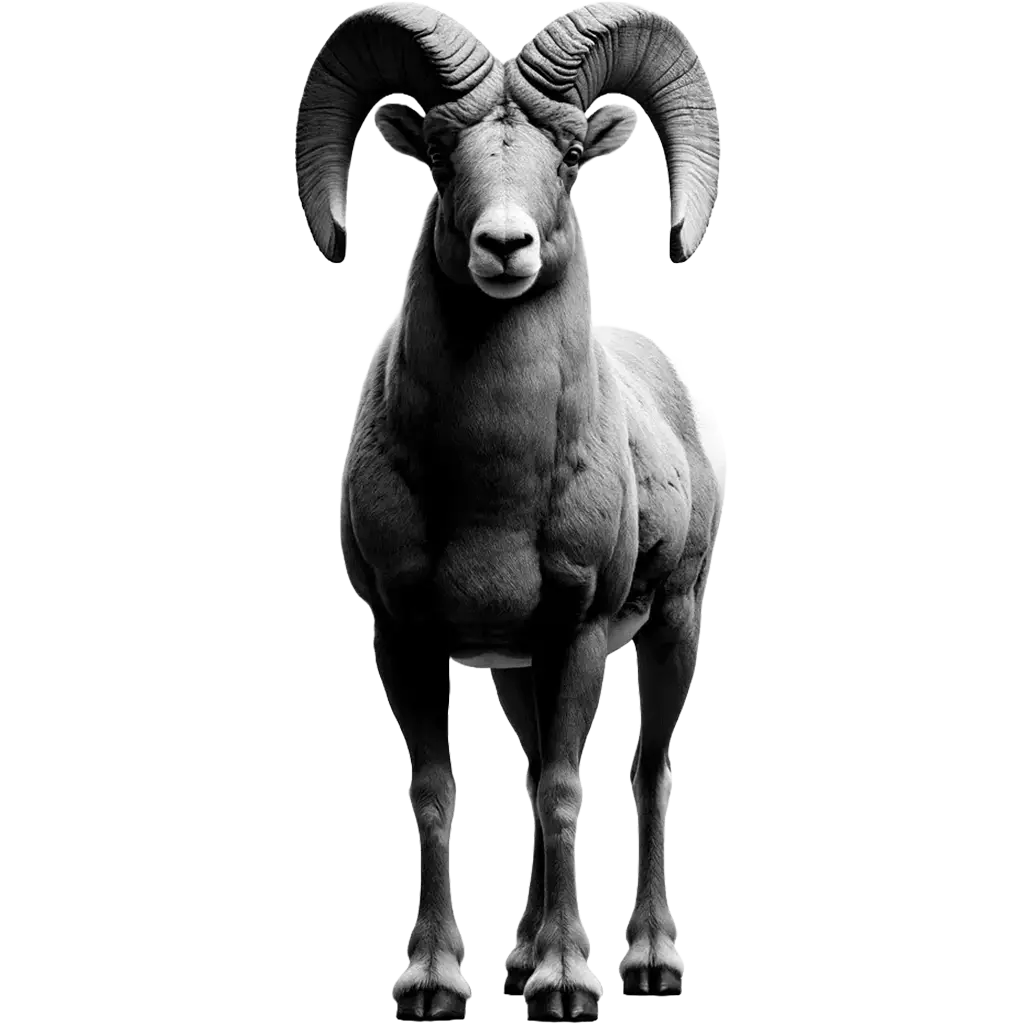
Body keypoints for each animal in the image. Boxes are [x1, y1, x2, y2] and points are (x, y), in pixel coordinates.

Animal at [294, 2, 726, 1020]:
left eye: (566, 154)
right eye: (441, 155)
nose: (504, 246)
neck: (493, 491)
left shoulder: (578, 635)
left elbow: (566, 790)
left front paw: (568, 987)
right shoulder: (407, 638)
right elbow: (439, 793)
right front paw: (435, 984)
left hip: (672, 628)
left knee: (646, 771)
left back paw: (648, 965)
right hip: (517, 677)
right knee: (530, 775)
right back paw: (520, 960)